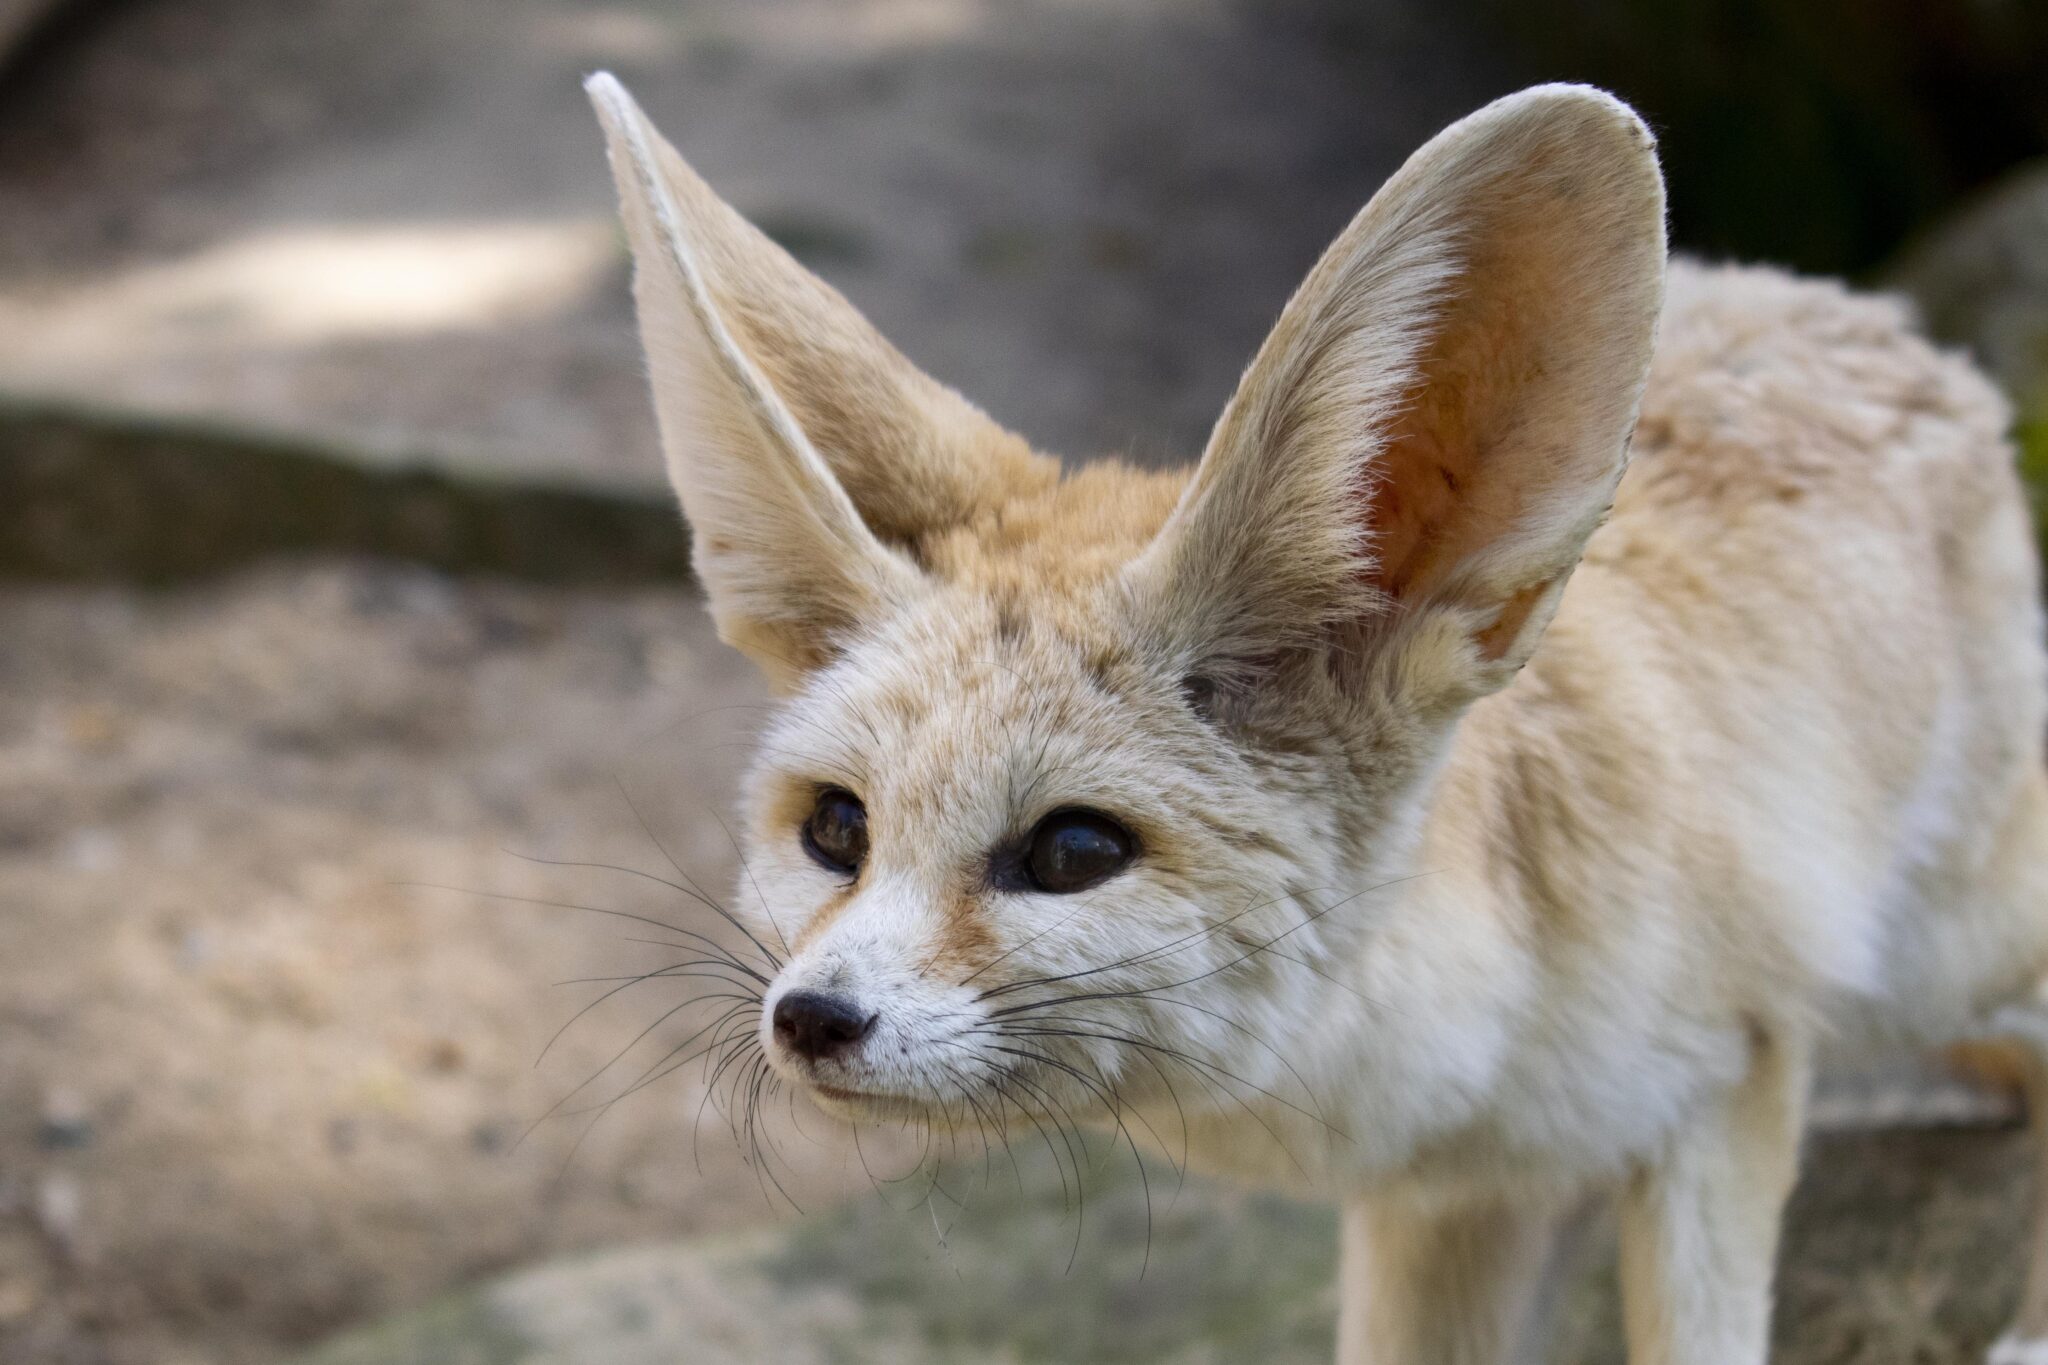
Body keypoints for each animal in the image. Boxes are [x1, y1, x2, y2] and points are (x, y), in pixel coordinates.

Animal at [585, 71, 2048, 1364]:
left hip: (1941, 958)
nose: (809, 1018)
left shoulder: (1728, 1080)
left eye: (1071, 852)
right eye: (837, 830)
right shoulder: (1455, 1199)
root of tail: (1883, 324)